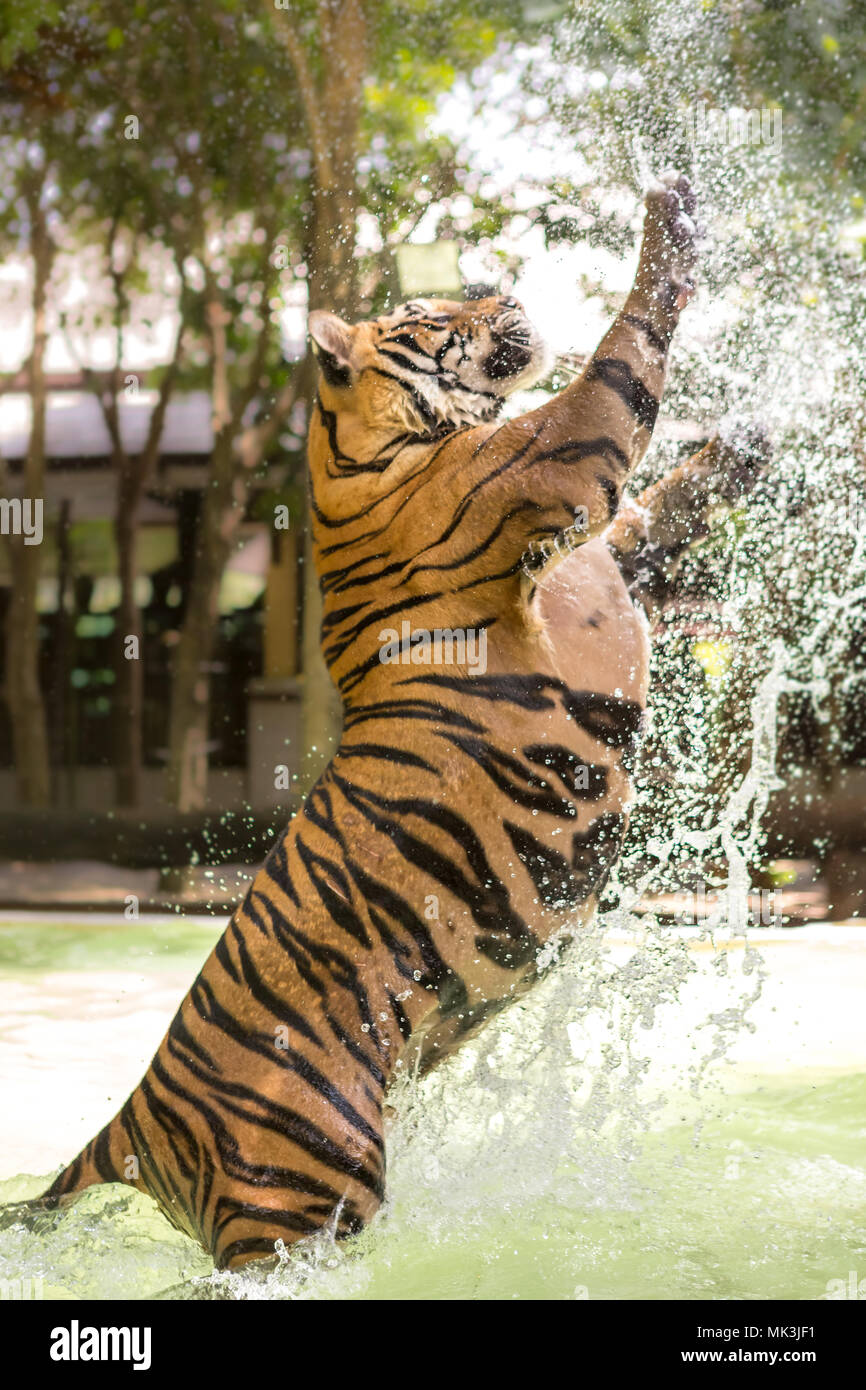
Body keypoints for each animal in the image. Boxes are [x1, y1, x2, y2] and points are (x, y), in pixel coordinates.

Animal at [37, 172, 760, 1269]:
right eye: (428, 310)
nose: (500, 286)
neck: (365, 455)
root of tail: (134, 1120)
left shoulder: (599, 547)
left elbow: (664, 502)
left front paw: (745, 446)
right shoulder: (561, 460)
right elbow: (621, 357)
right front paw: (668, 212)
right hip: (304, 1196)